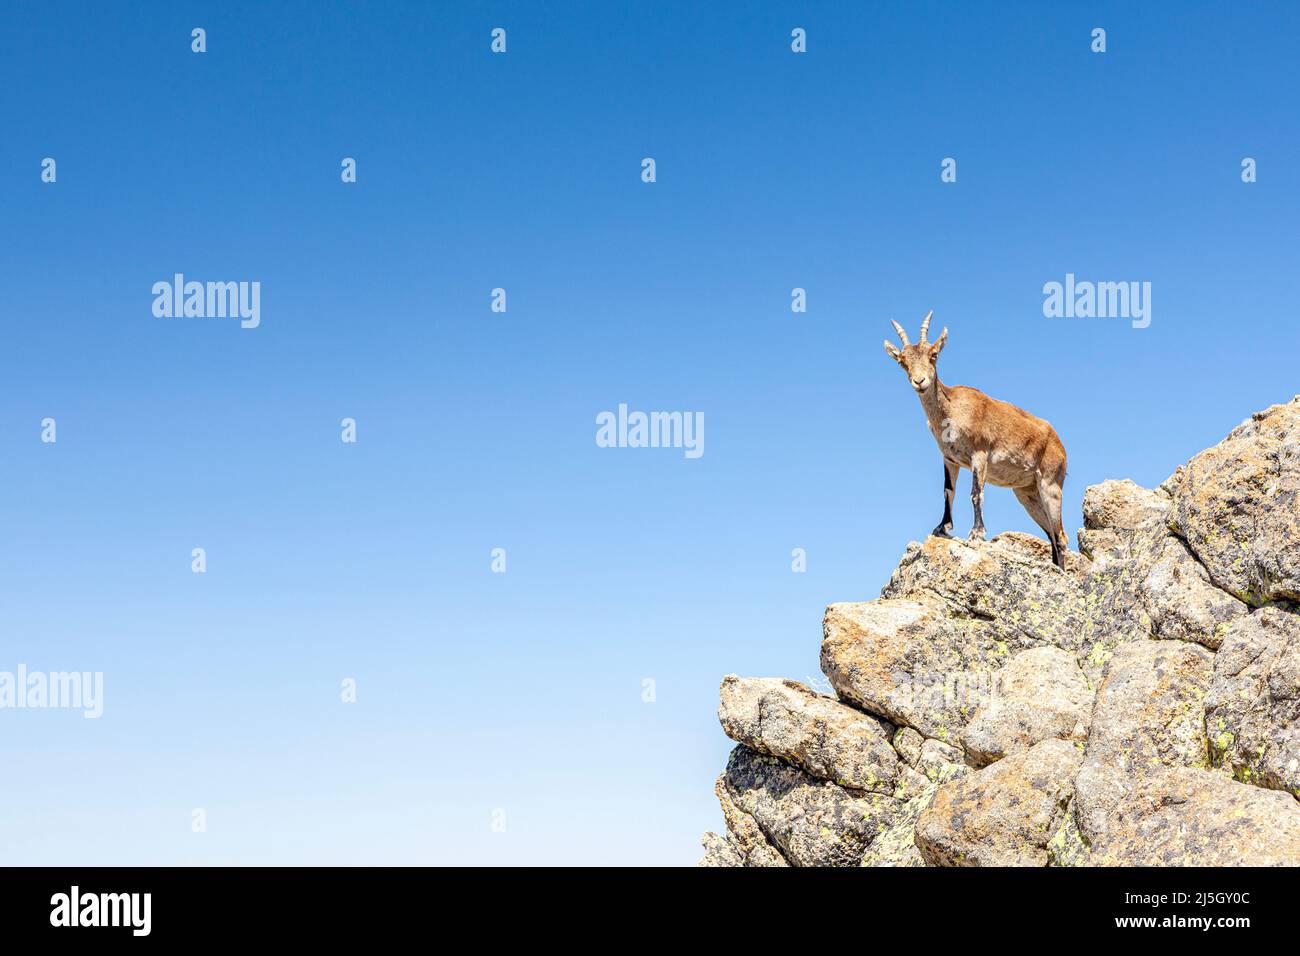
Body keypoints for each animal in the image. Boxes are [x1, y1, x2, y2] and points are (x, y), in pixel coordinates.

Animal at [883, 311, 1070, 570]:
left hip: (1051, 484)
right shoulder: (950, 459)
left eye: (933, 354)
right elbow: (948, 491)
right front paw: (942, 527)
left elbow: (976, 492)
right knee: (1051, 533)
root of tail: (1060, 446)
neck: (952, 410)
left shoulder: (979, 454)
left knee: (1061, 536)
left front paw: (977, 533)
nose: (919, 382)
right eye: (902, 361)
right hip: (1027, 493)